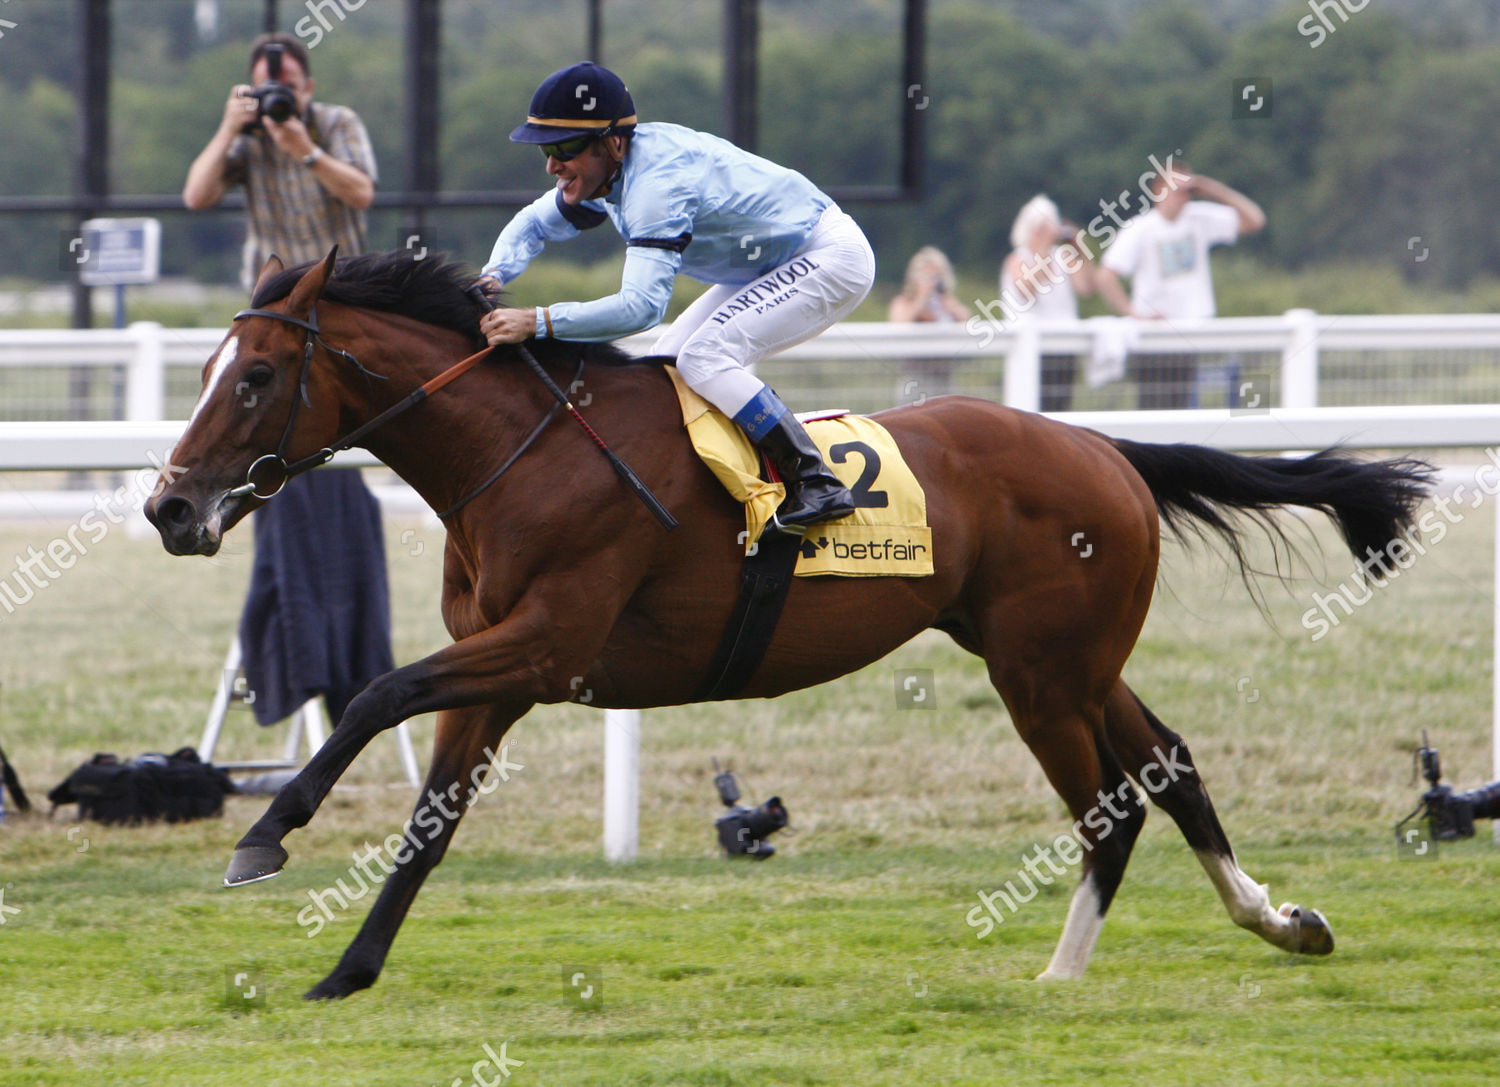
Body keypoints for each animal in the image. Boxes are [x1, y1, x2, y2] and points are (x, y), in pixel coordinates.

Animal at [144, 249, 1433, 1000]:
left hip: (1039, 670)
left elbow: (374, 691)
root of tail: (1103, 447)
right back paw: (1280, 920)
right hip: (1063, 657)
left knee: (1108, 804)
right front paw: (347, 968)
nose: (169, 507)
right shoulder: (501, 672)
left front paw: (266, 836)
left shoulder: (549, 644)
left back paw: (1060, 972)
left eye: (254, 377)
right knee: (1169, 760)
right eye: (209, 368)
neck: (520, 454)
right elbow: (430, 820)